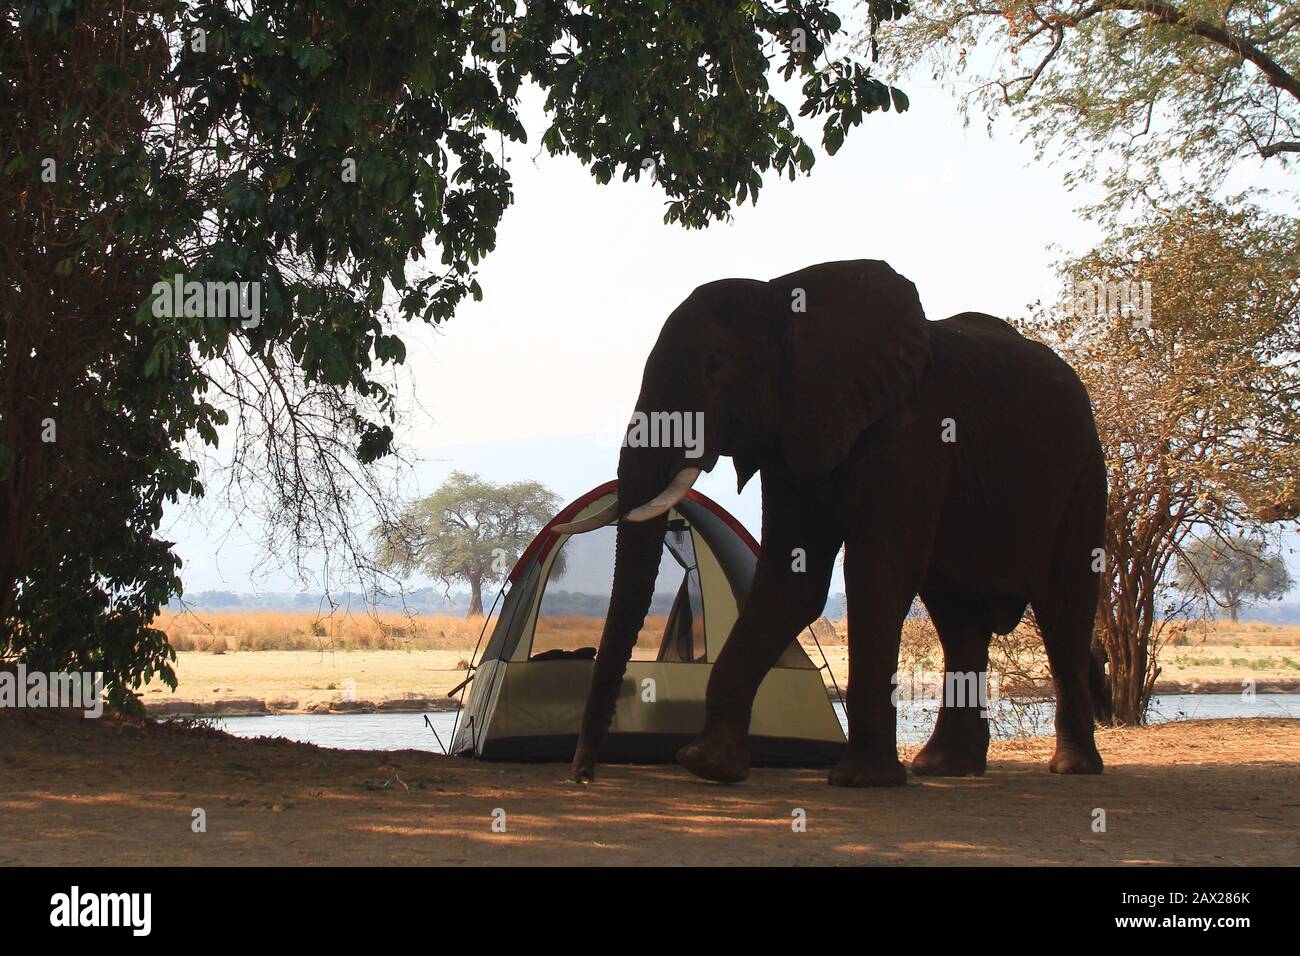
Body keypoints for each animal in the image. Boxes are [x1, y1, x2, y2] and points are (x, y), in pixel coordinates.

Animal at [554, 259, 1110, 787]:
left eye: (716, 365)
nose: (585, 776)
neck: (787, 297)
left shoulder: (915, 433)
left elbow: (876, 573)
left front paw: (860, 781)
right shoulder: (793, 433)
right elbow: (789, 579)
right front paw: (706, 765)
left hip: (1085, 472)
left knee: (1063, 608)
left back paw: (1072, 767)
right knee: (958, 619)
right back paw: (945, 767)